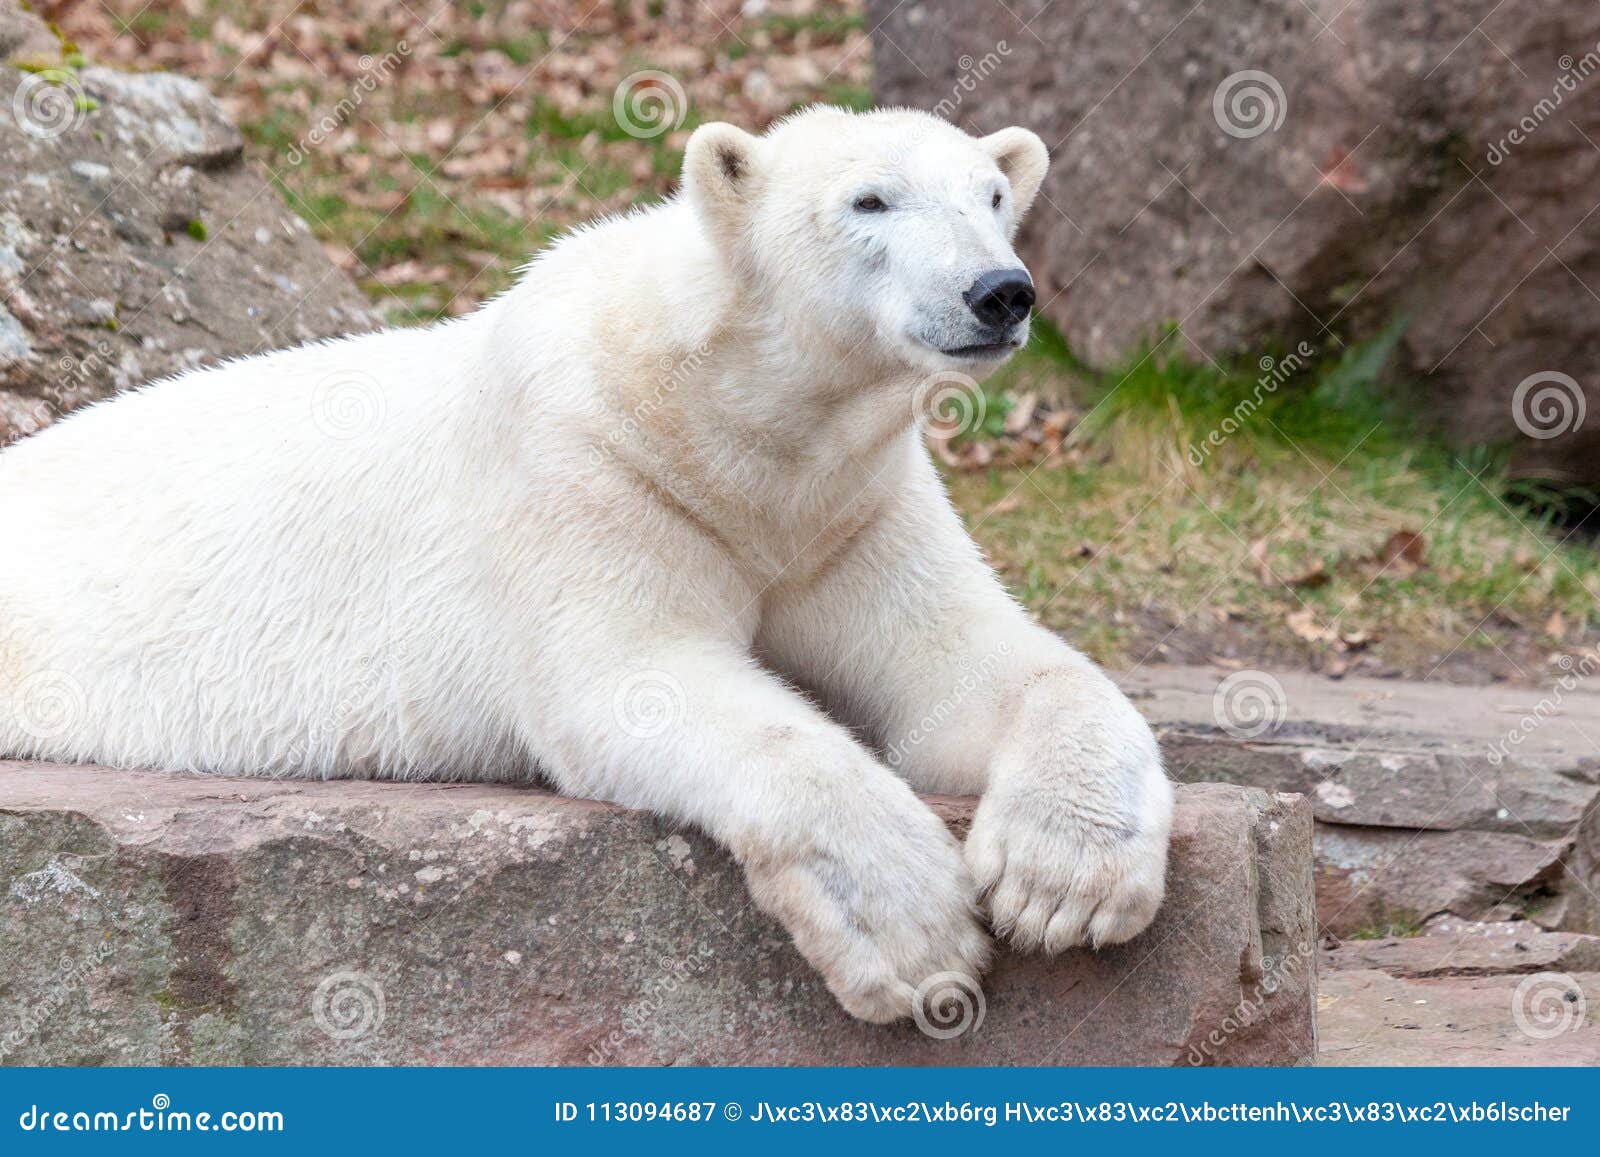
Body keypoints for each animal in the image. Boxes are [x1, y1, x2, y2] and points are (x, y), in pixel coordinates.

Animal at [0, 106, 1174, 1023]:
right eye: (870, 201)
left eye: (992, 195)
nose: (999, 291)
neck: (730, 426)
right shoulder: (591, 464)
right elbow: (633, 674)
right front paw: (918, 937)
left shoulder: (849, 506)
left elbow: (969, 666)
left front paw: (1063, 880)